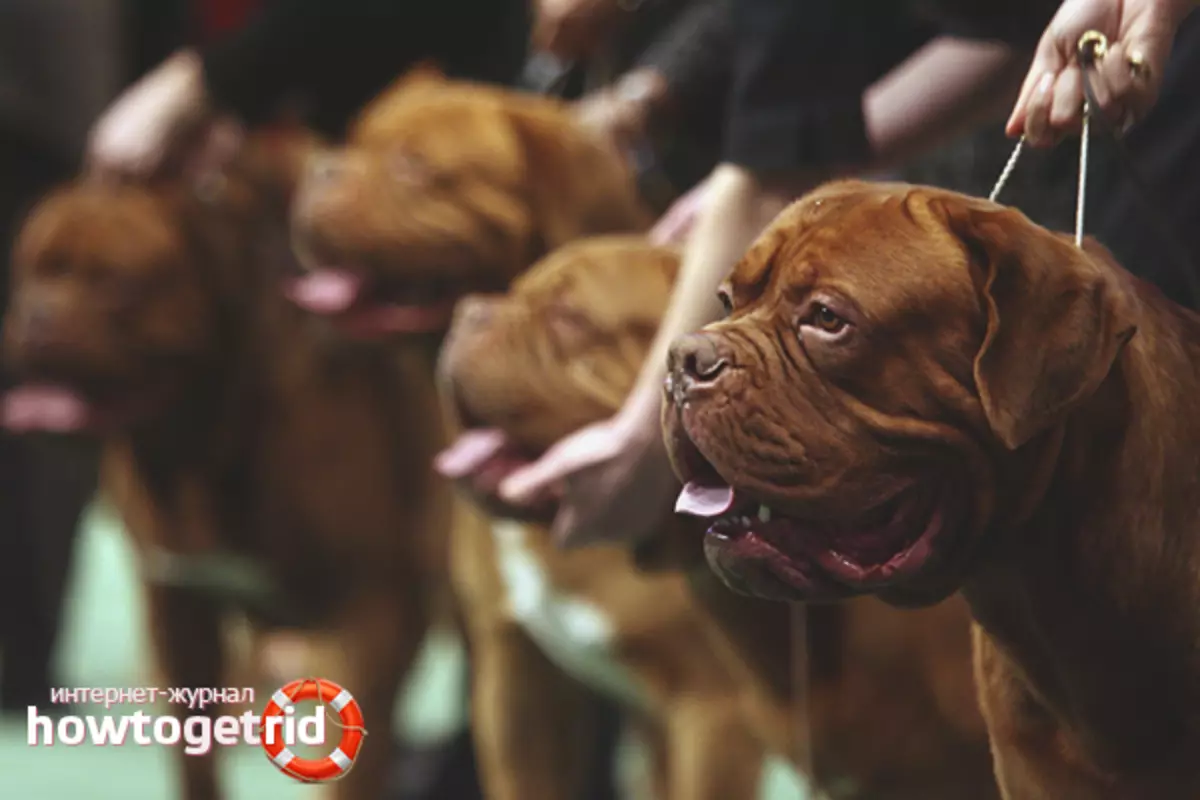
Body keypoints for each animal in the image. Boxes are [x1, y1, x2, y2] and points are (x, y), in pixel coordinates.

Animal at [2, 142, 451, 800]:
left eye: (118, 283)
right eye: (31, 272)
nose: (37, 316)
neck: (212, 441)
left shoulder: (372, 611)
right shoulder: (179, 607)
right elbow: (196, 759)